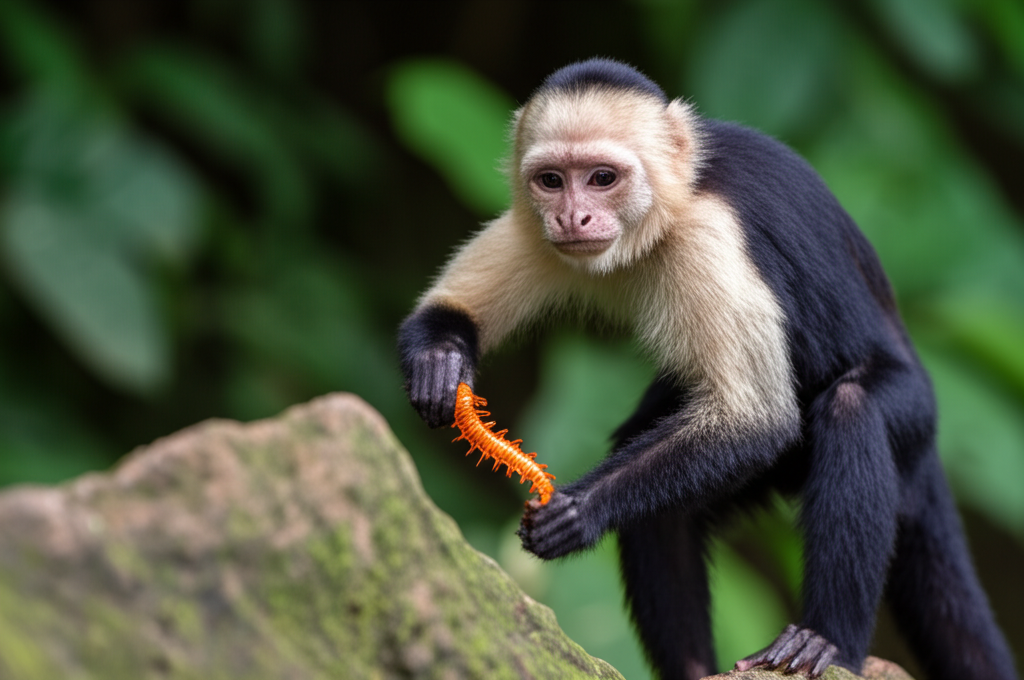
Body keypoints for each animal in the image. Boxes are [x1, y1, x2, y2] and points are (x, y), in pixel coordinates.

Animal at [397, 58, 1018, 680]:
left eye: (602, 178)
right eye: (552, 180)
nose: (573, 216)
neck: (669, 206)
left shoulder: (711, 238)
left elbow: (756, 421)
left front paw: (580, 510)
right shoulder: (536, 226)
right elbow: (450, 308)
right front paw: (440, 360)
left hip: (914, 410)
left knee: (852, 408)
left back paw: (826, 641)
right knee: (660, 505)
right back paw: (695, 666)